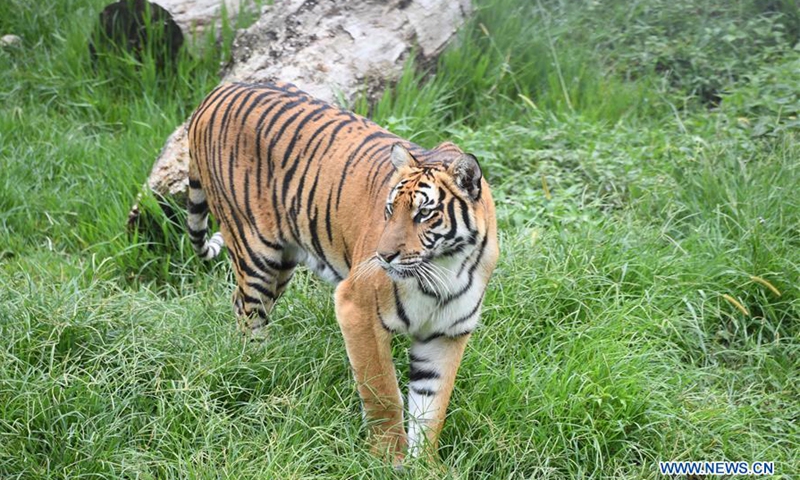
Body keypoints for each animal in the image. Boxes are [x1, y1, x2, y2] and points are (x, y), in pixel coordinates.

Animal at [185, 81, 499, 463]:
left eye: (423, 214)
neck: (445, 269)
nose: (384, 256)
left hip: (283, 263)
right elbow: (382, 394)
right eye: (390, 209)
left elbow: (431, 408)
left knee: (238, 301)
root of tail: (217, 90)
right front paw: (388, 461)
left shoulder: (447, 334)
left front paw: (424, 464)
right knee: (249, 314)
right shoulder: (357, 309)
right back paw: (255, 367)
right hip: (256, 251)